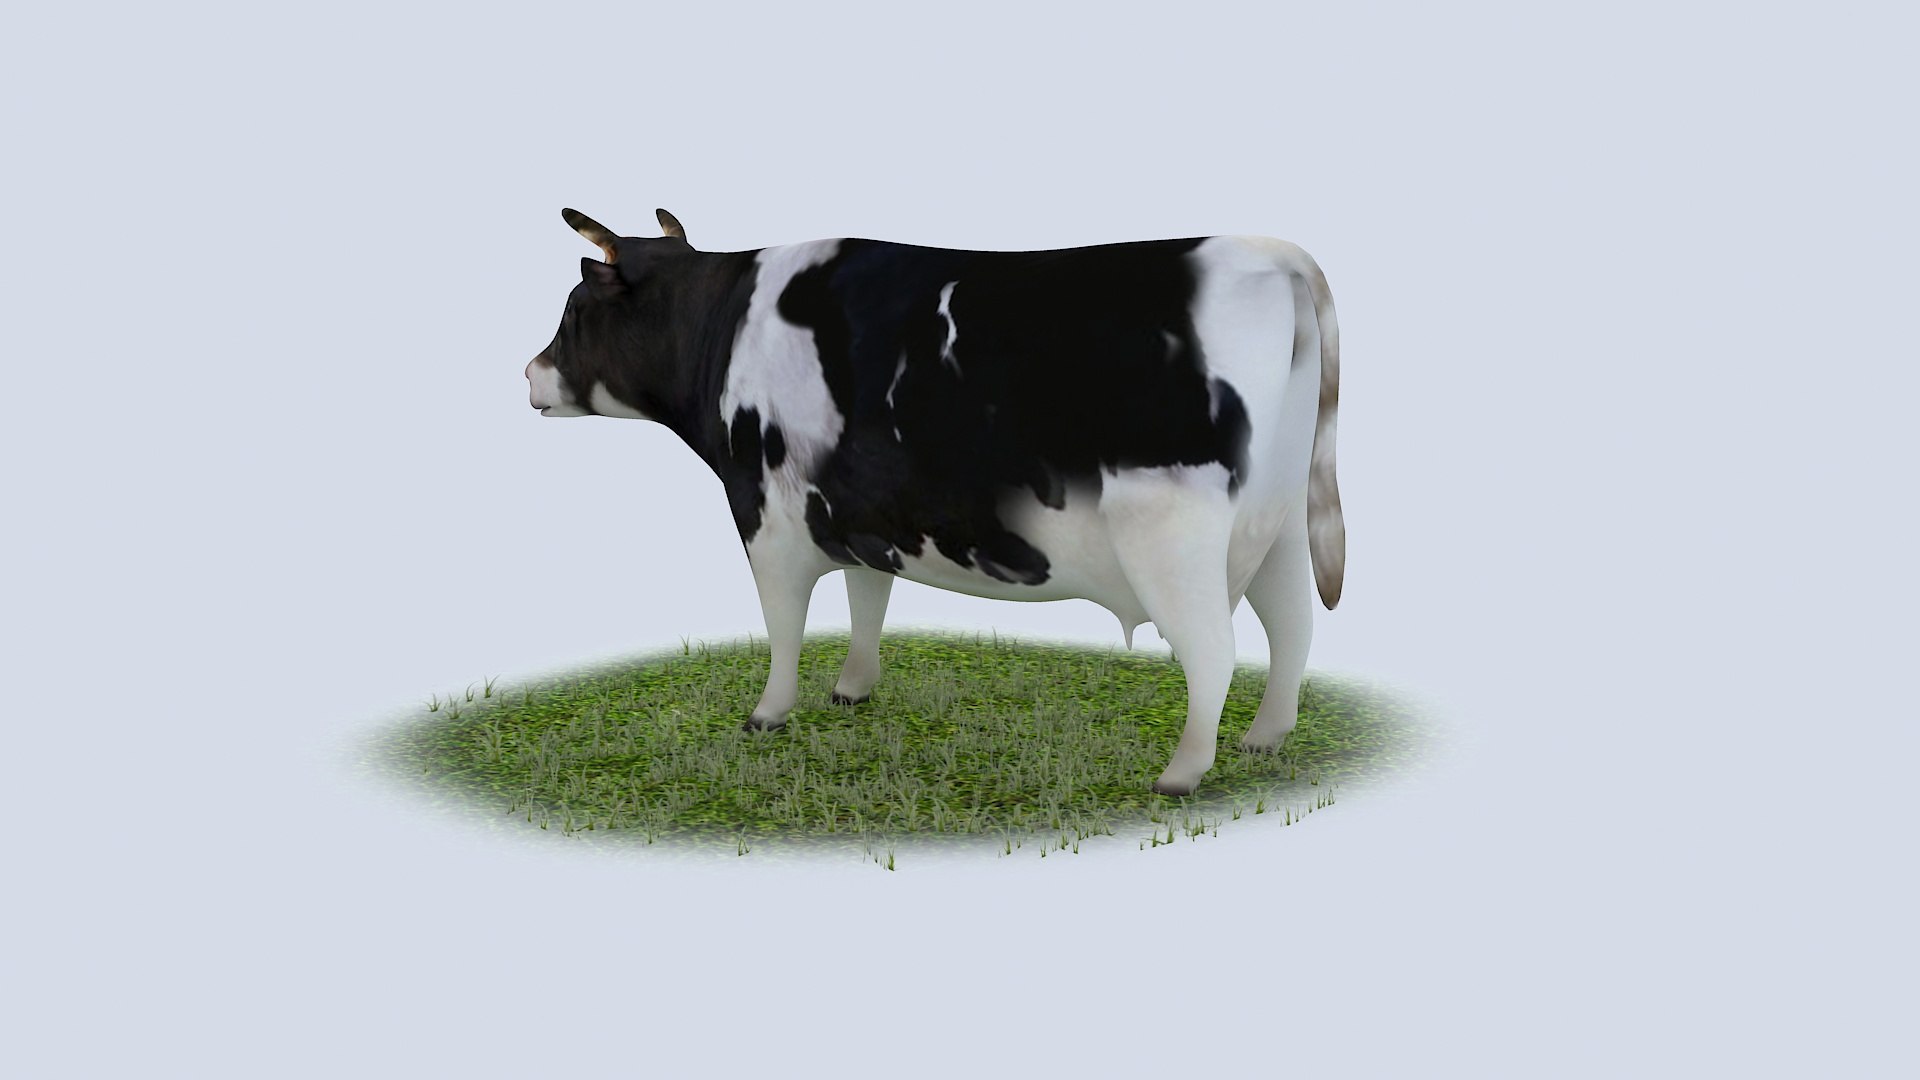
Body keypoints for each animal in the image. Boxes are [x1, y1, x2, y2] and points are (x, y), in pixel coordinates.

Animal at [526, 207, 1344, 795]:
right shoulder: (859, 509)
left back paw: (1182, 773)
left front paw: (768, 714)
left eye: (572, 313)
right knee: (1293, 626)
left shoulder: (766, 515)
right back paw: (1264, 739)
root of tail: (1264, 250)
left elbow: (784, 625)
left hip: (1174, 539)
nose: (528, 374)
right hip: (1276, 525)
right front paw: (852, 690)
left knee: (1216, 649)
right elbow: (866, 597)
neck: (725, 325)